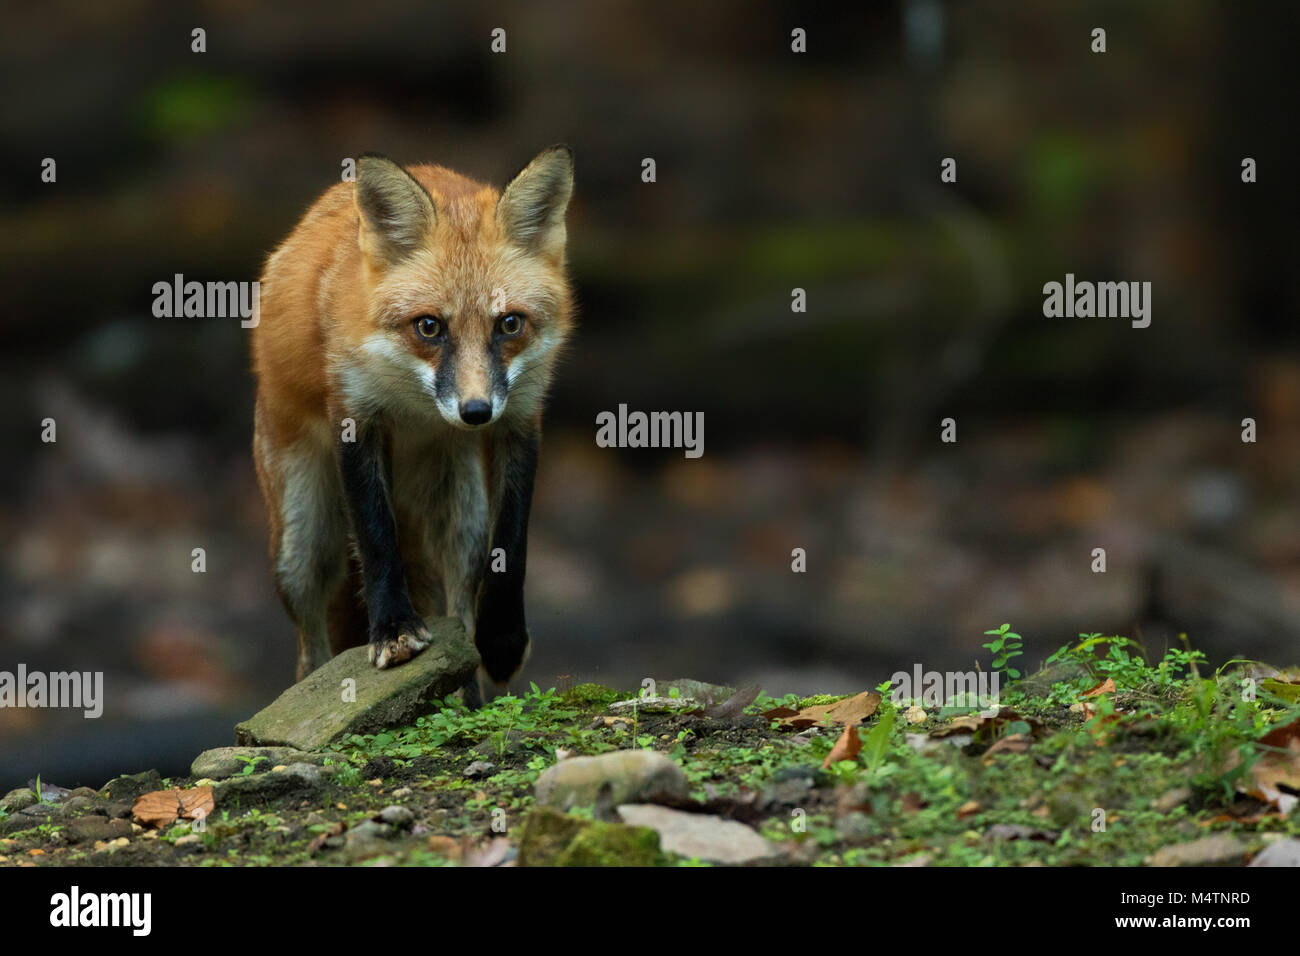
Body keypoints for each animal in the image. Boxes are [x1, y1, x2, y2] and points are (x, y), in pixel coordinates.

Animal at [250, 146, 575, 700]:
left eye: (509, 324)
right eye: (429, 327)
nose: (475, 412)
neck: (416, 408)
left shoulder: (520, 419)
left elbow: (512, 546)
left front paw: (503, 640)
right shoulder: (355, 418)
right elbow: (378, 538)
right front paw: (394, 630)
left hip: (461, 513)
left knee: (460, 597)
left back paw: (468, 696)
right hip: (302, 543)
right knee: (309, 645)